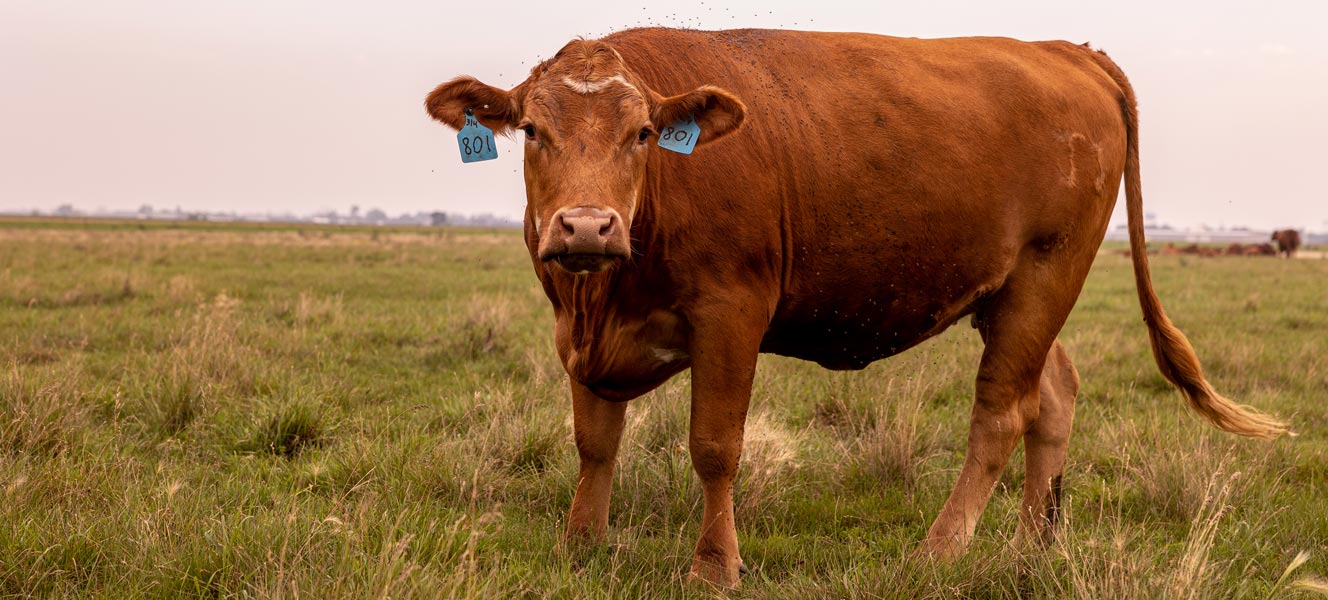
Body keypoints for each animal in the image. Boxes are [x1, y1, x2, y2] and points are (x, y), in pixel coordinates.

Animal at [425, 28, 1288, 587]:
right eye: (532, 130)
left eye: (642, 133)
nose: (586, 226)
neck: (605, 293)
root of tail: (1066, 50)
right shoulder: (577, 329)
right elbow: (595, 441)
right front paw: (582, 543)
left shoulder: (732, 312)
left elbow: (715, 447)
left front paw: (715, 565)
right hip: (1012, 292)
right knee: (1054, 395)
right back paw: (1033, 546)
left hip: (1047, 274)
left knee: (1002, 412)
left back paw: (940, 550)